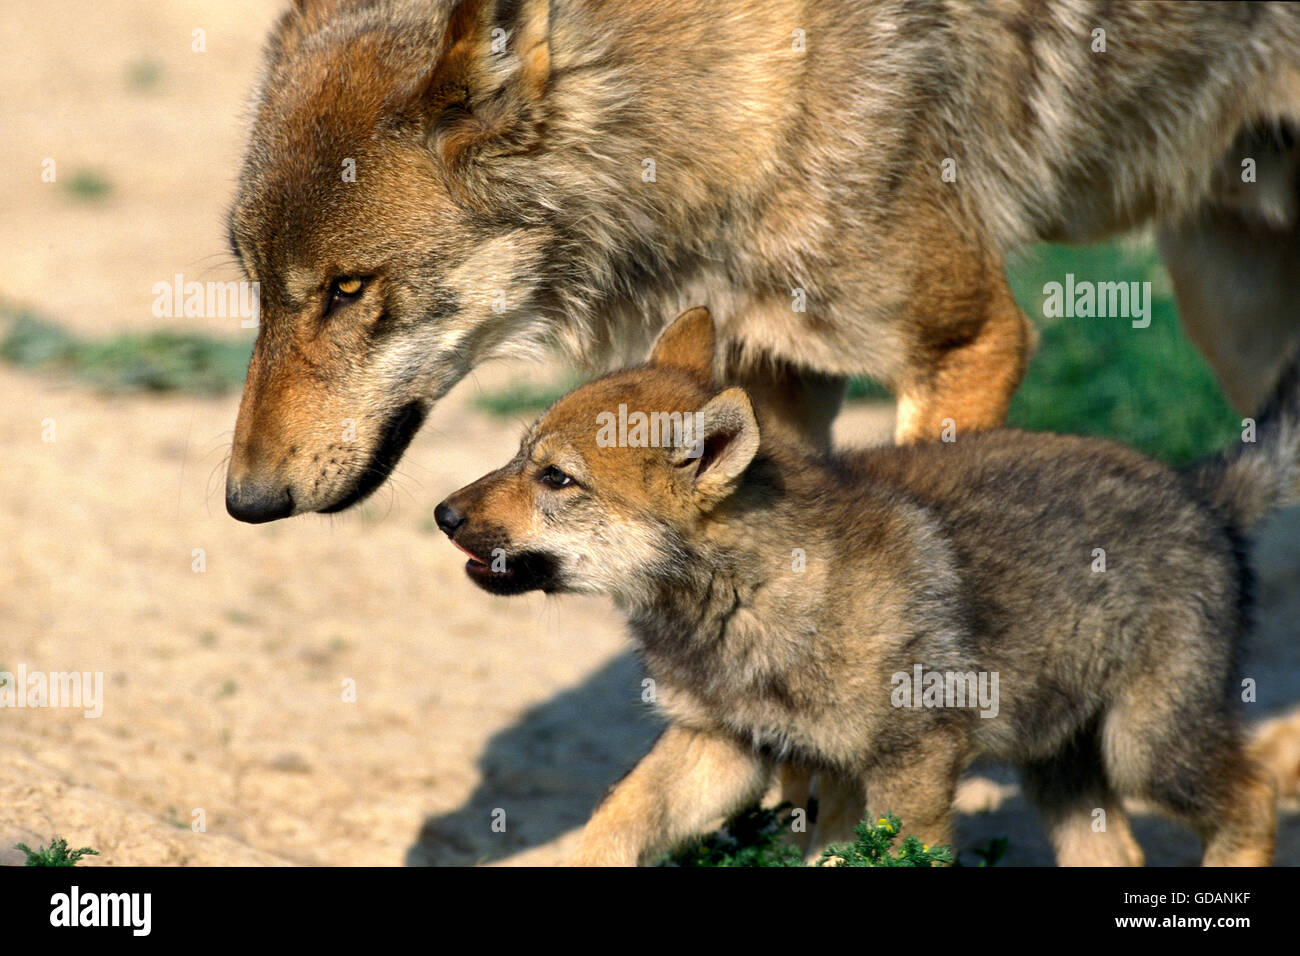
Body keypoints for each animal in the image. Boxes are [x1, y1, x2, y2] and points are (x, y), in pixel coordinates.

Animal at [434, 308, 1299, 865]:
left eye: (556, 478)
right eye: (519, 456)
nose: (441, 514)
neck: (750, 596)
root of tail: (1202, 493)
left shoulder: (912, 765)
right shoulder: (723, 747)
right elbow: (615, 821)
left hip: (1146, 749)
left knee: (1255, 801)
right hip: (1060, 764)